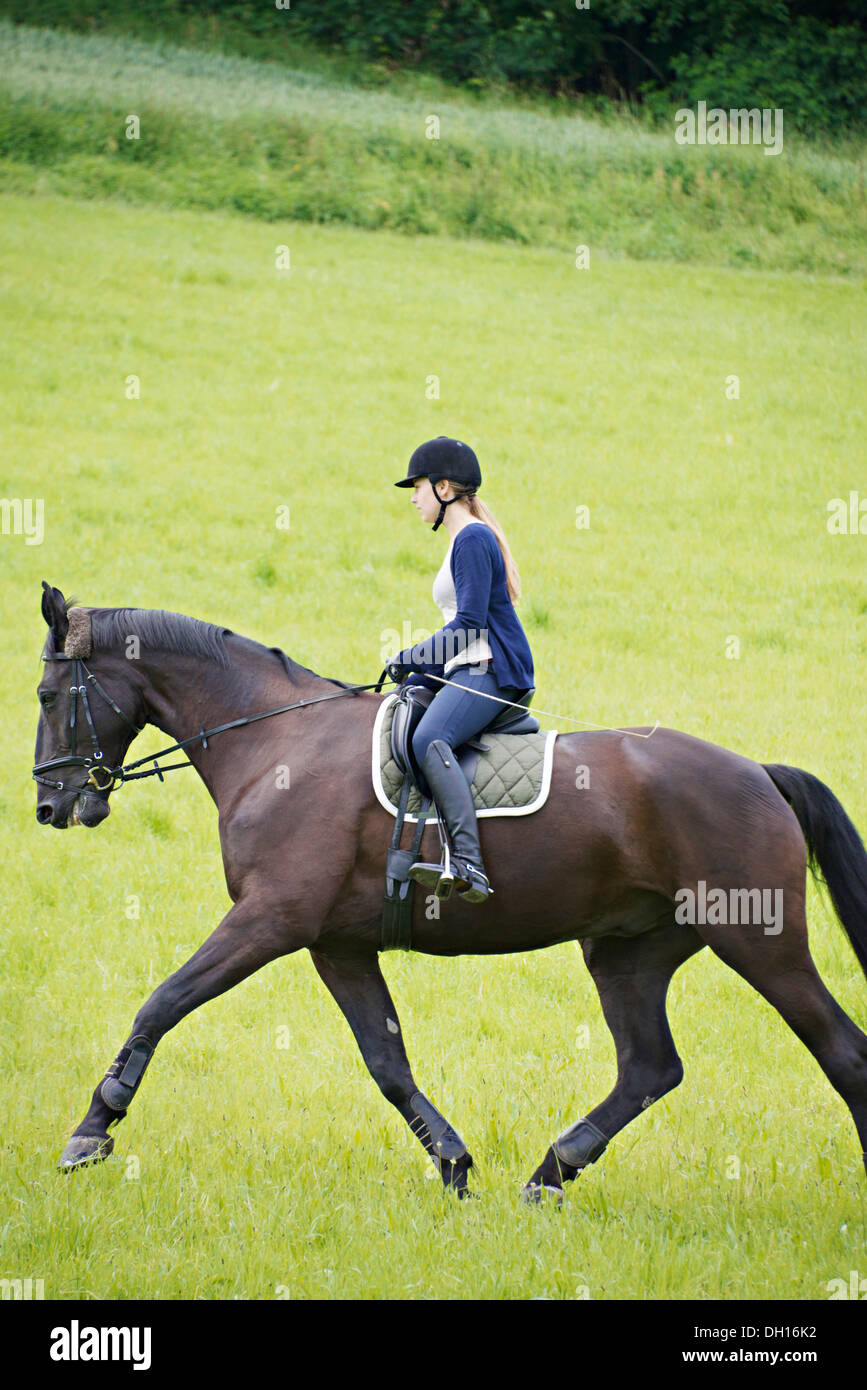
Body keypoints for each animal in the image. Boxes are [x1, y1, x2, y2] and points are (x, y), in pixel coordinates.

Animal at [33, 582, 867, 1201]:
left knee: (841, 1052)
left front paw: (91, 1132)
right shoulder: (336, 944)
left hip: (758, 940)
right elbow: (386, 1062)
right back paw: (549, 1174)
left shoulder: (269, 919)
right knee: (649, 1068)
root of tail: (758, 772)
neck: (274, 742)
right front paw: (455, 1166)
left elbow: (162, 1003)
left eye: (45, 694)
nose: (49, 806)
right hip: (628, 951)